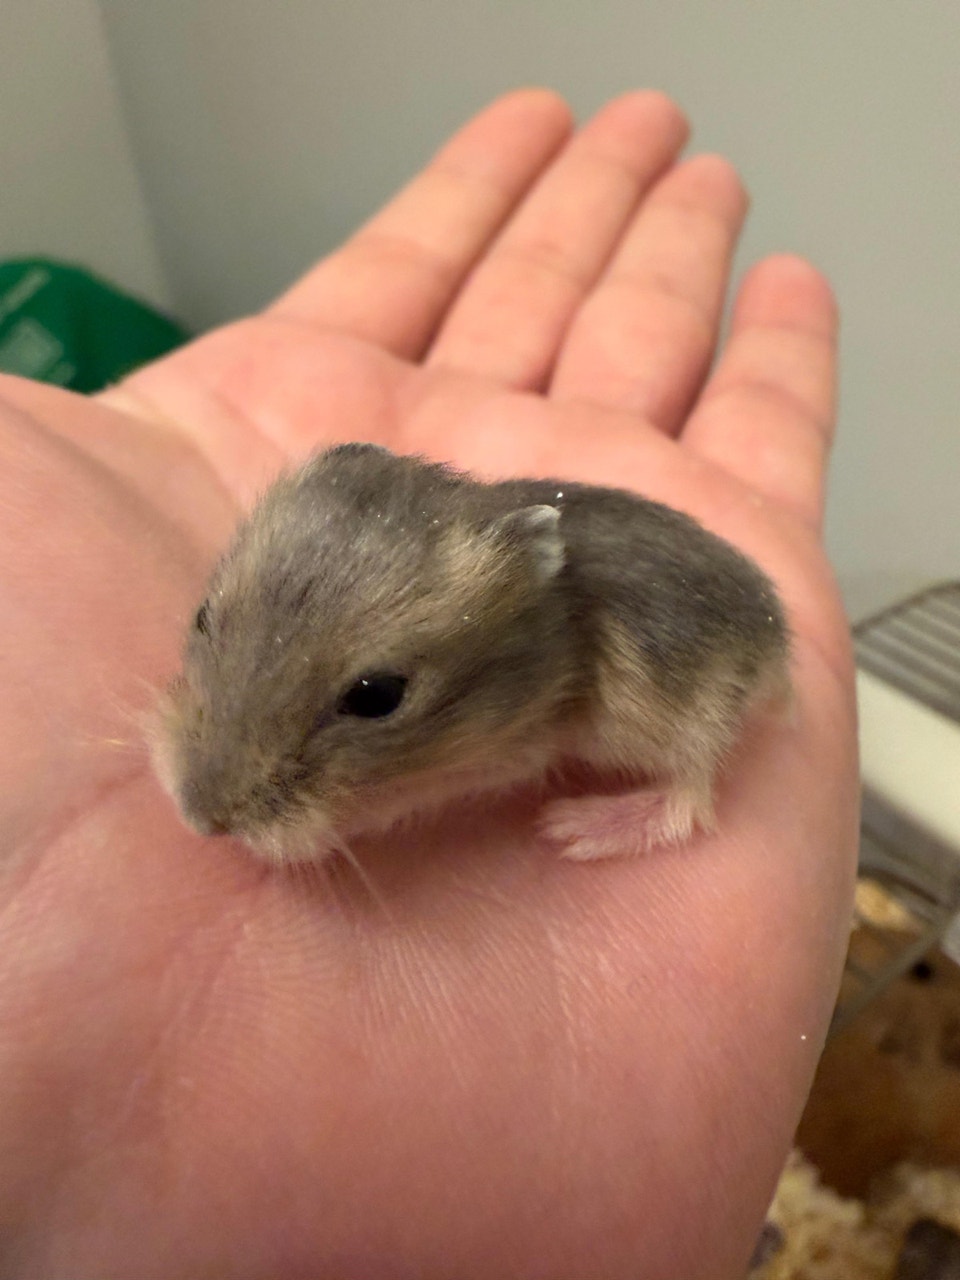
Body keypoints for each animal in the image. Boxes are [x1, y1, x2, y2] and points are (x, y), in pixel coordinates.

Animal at [151, 443, 790, 865]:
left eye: (378, 697)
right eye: (202, 616)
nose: (200, 822)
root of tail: (779, 637)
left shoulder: (513, 751)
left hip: (685, 717)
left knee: (690, 798)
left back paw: (574, 829)